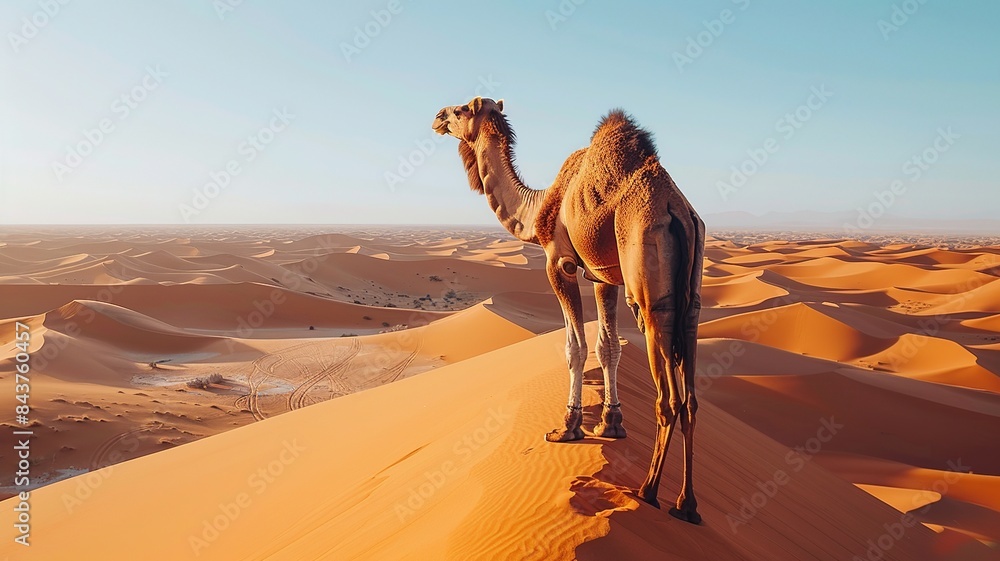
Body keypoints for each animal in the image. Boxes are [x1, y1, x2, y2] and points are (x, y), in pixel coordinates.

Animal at [432, 97, 705, 524]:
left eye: (461, 110)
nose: (437, 118)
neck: (538, 207)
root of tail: (678, 211)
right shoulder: (602, 276)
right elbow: (608, 347)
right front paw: (610, 425)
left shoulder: (559, 263)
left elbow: (575, 347)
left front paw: (568, 426)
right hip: (692, 295)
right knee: (691, 397)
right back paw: (686, 505)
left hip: (650, 293)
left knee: (669, 398)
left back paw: (648, 490)